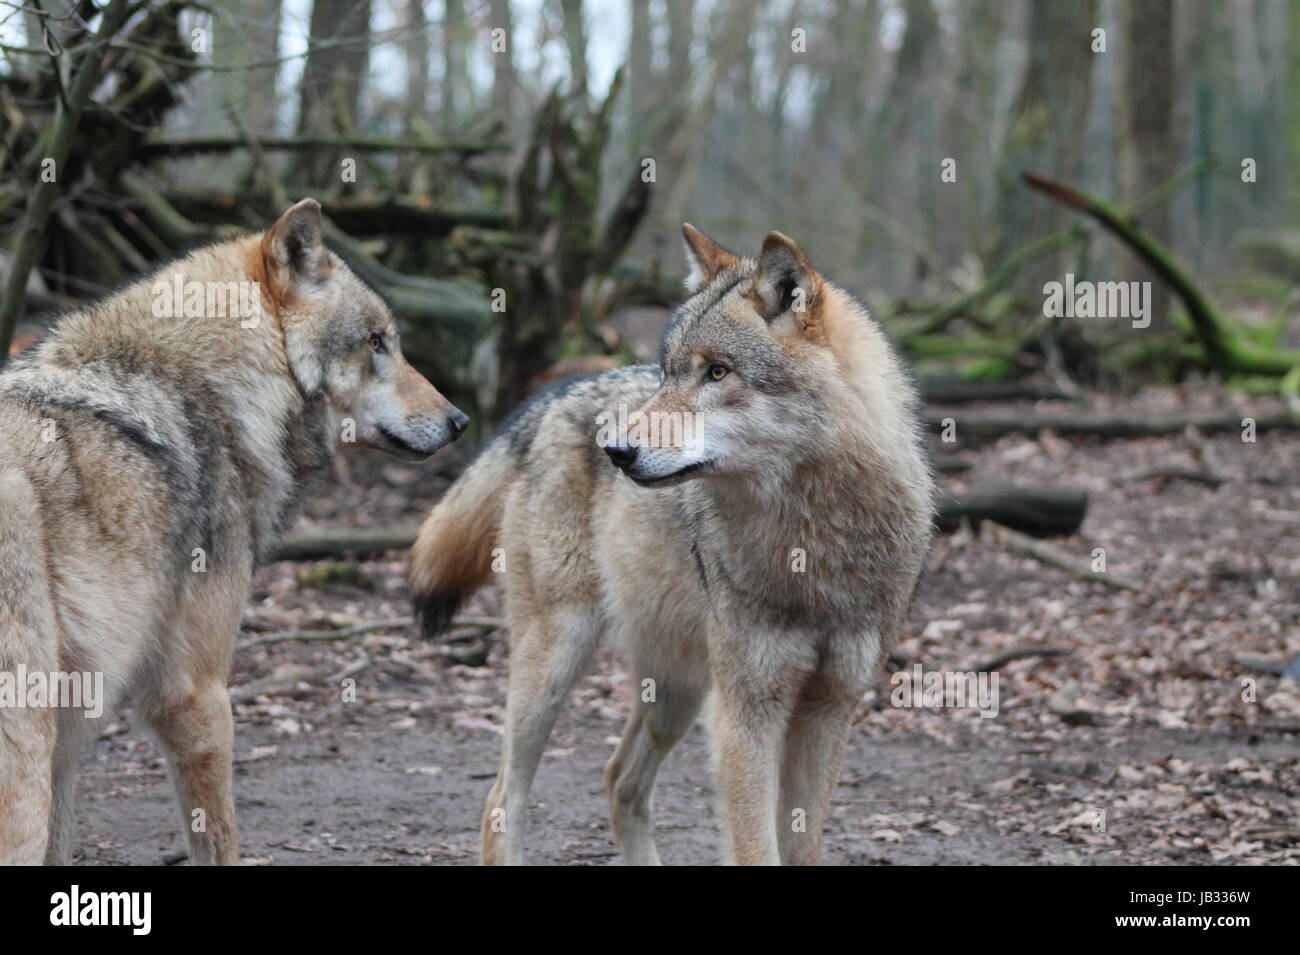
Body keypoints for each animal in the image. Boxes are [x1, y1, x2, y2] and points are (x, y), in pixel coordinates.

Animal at [0, 199, 467, 865]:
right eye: (377, 343)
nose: (460, 421)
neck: (210, 391)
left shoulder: (73, 742)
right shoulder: (194, 692)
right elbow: (218, 840)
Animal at [410, 225, 934, 865]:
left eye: (717, 373)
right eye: (669, 372)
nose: (616, 449)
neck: (811, 544)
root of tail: (554, 397)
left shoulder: (831, 708)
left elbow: (800, 846)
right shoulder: (745, 713)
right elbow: (757, 848)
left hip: (675, 692)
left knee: (620, 779)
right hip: (556, 665)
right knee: (501, 799)